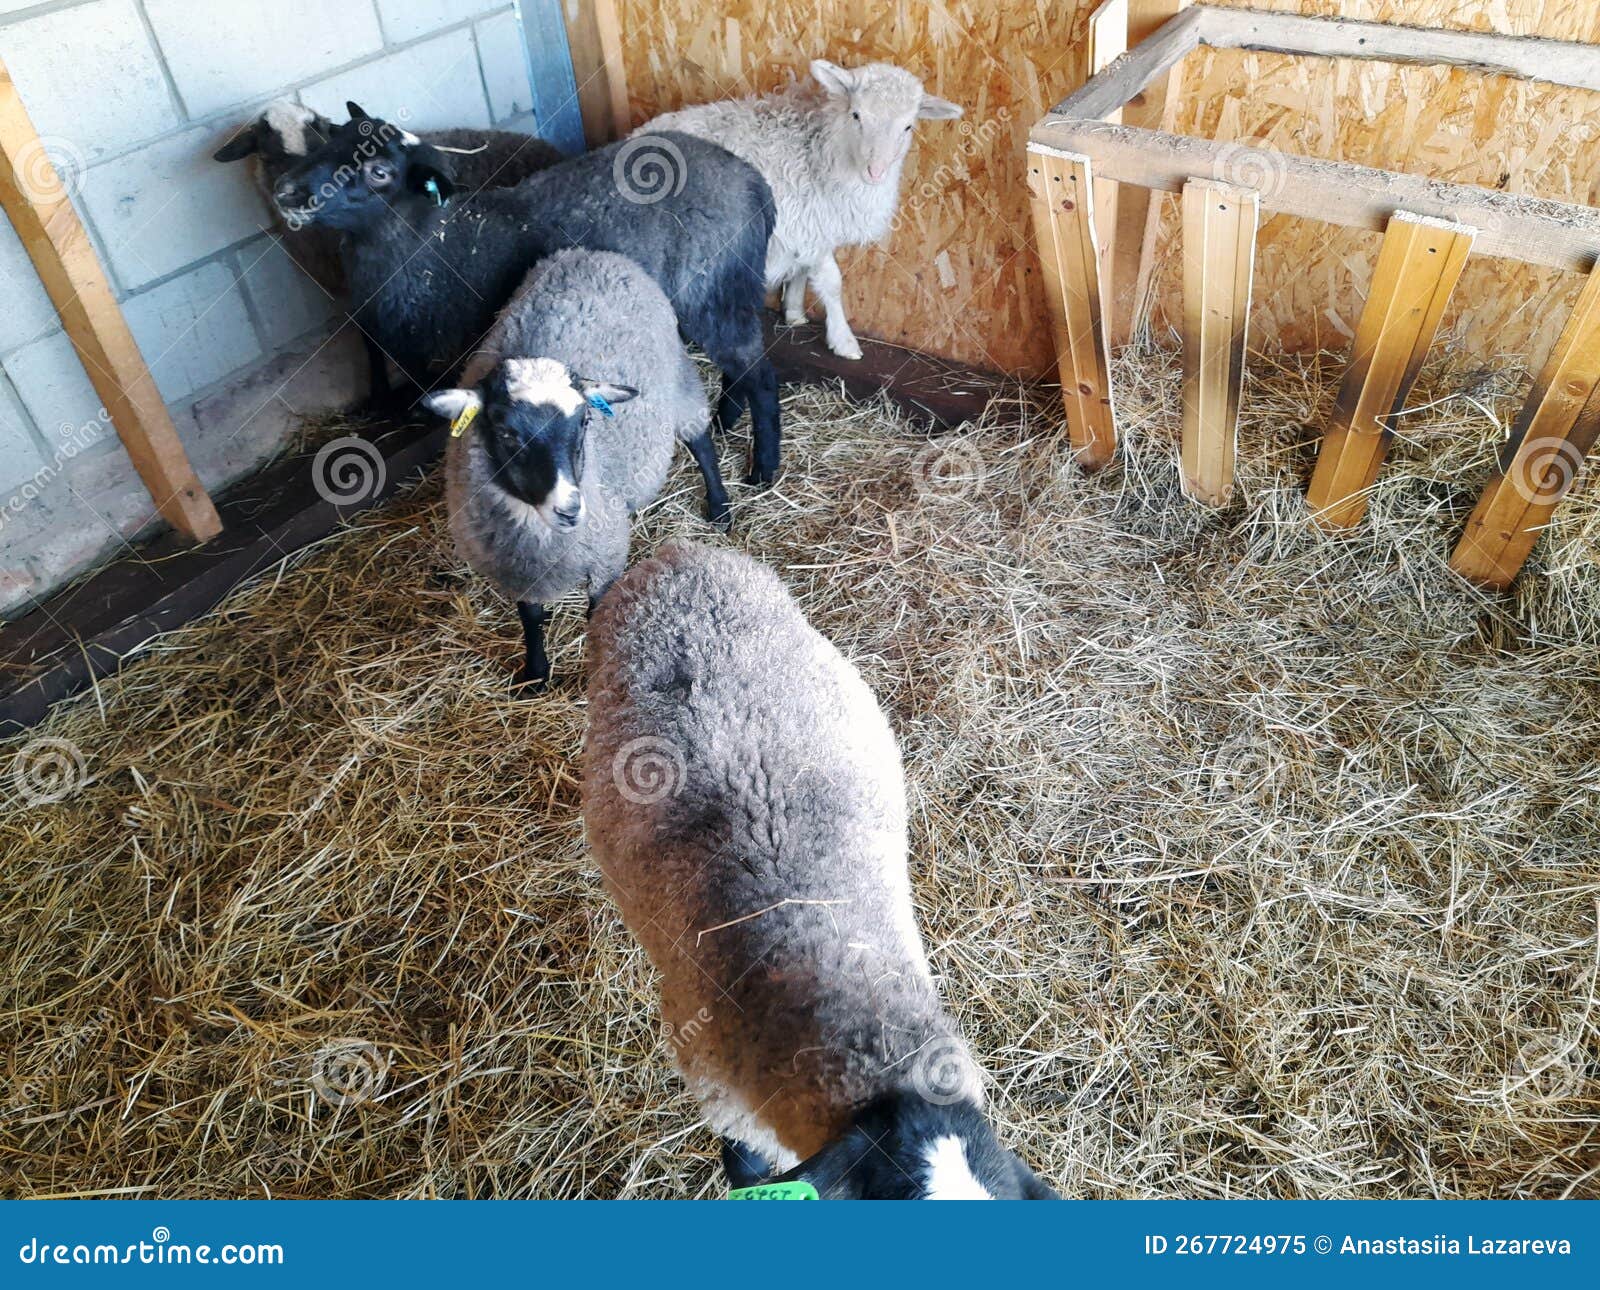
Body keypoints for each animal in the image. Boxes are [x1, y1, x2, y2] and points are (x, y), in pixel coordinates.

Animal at [275, 104, 782, 485]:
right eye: (330, 140)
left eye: (379, 172)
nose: (287, 190)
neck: (442, 242)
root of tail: (754, 181)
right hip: (727, 288)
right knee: (740, 365)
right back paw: (726, 420)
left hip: (713, 289)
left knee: (759, 374)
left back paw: (764, 467)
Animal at [421, 251, 730, 691]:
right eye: (506, 432)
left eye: (585, 421)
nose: (569, 509)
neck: (537, 531)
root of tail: (593, 253)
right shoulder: (520, 566)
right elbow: (530, 616)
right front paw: (535, 674)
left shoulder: (606, 553)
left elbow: (598, 612)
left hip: (680, 378)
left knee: (700, 439)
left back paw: (720, 507)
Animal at [642, 61, 962, 360]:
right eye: (856, 115)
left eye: (908, 126)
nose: (876, 171)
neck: (822, 152)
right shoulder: (808, 227)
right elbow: (832, 283)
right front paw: (844, 341)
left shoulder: (807, 229)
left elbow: (801, 272)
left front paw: (795, 313)